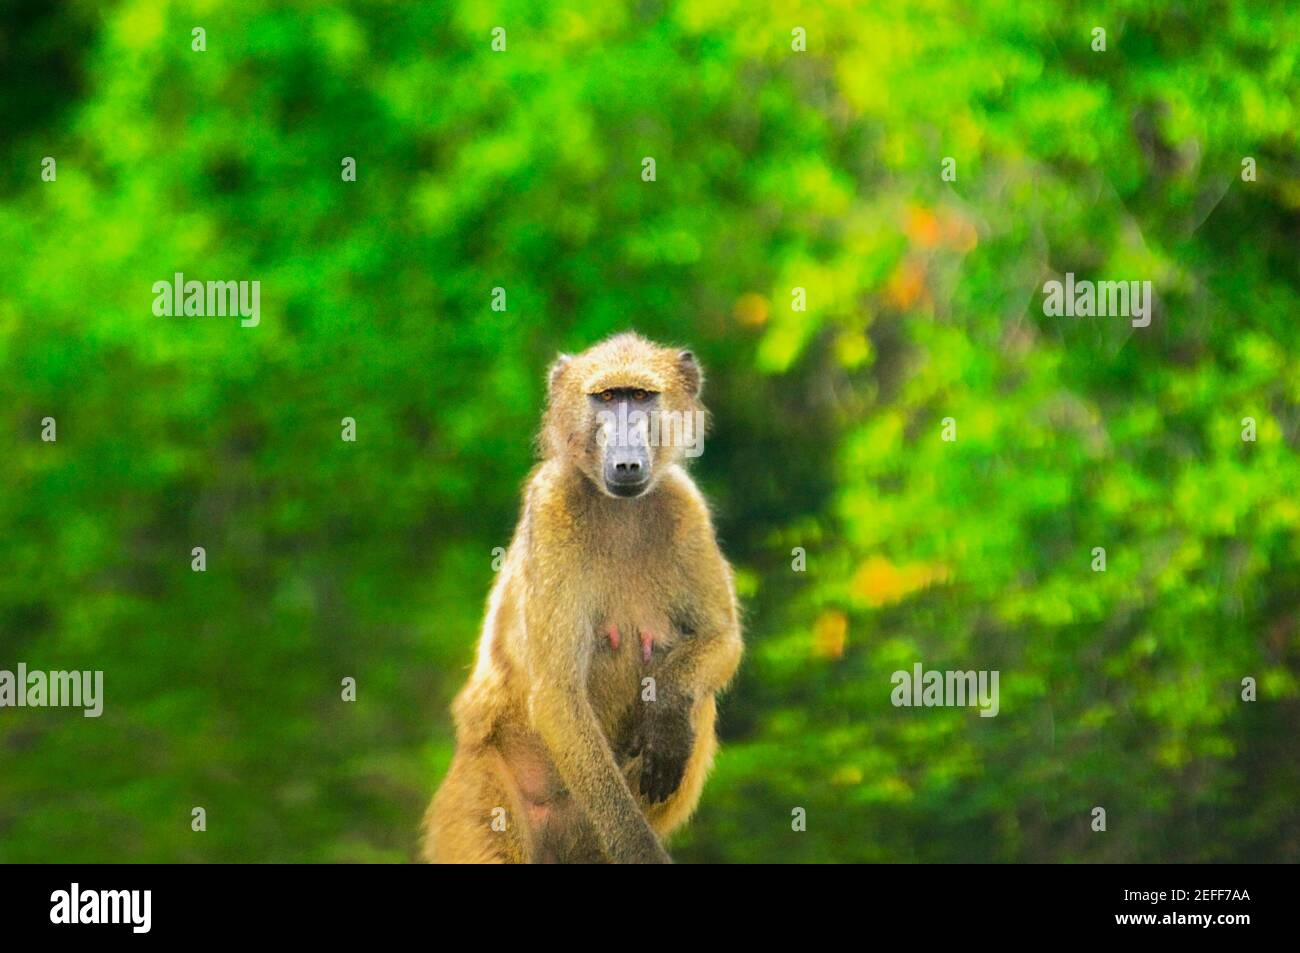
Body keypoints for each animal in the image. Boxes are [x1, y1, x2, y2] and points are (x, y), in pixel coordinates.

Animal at [423, 332, 743, 863]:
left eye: (641, 396)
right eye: (608, 398)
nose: (628, 462)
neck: (620, 509)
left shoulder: (686, 506)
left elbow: (722, 639)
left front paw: (666, 715)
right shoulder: (552, 508)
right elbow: (558, 693)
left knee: (697, 702)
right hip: (480, 796)